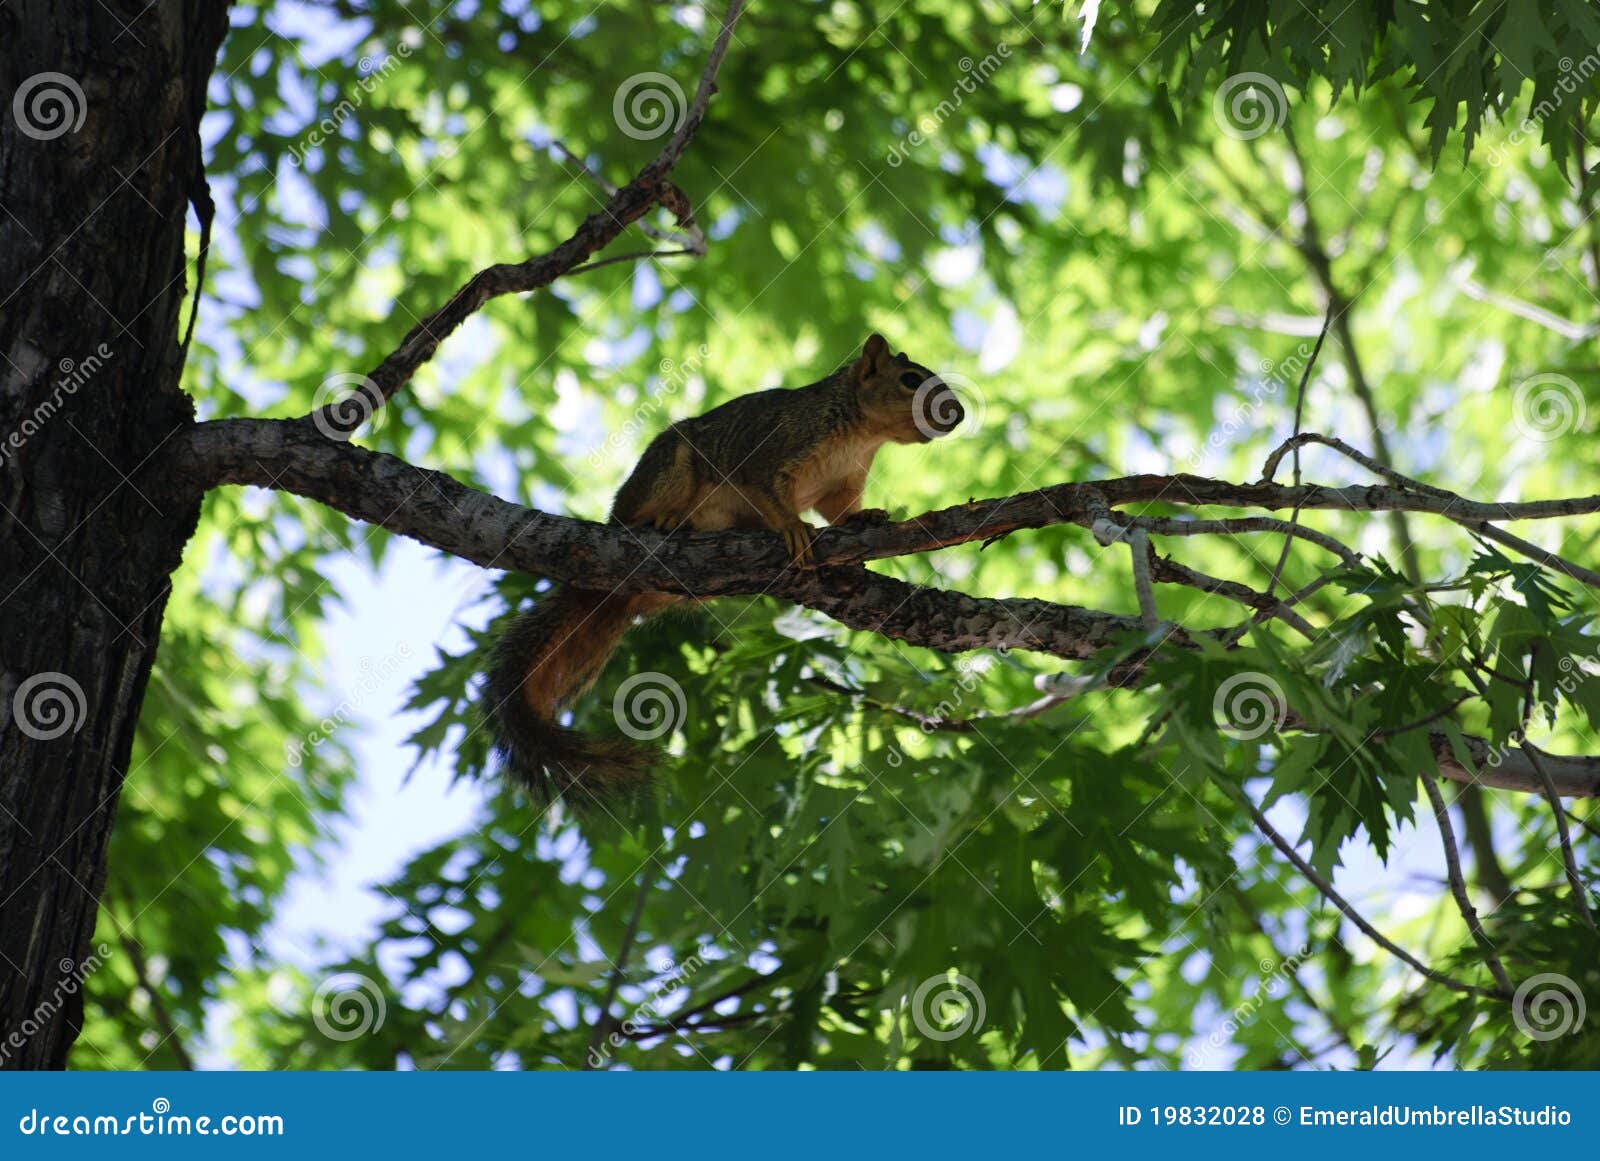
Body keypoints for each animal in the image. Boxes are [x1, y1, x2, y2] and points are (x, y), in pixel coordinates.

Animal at [484, 333, 965, 805]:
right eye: (910, 379)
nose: (957, 416)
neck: (862, 434)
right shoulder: (774, 449)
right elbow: (770, 490)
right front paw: (793, 527)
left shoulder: (842, 483)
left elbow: (840, 511)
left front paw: (865, 517)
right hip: (669, 468)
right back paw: (666, 520)